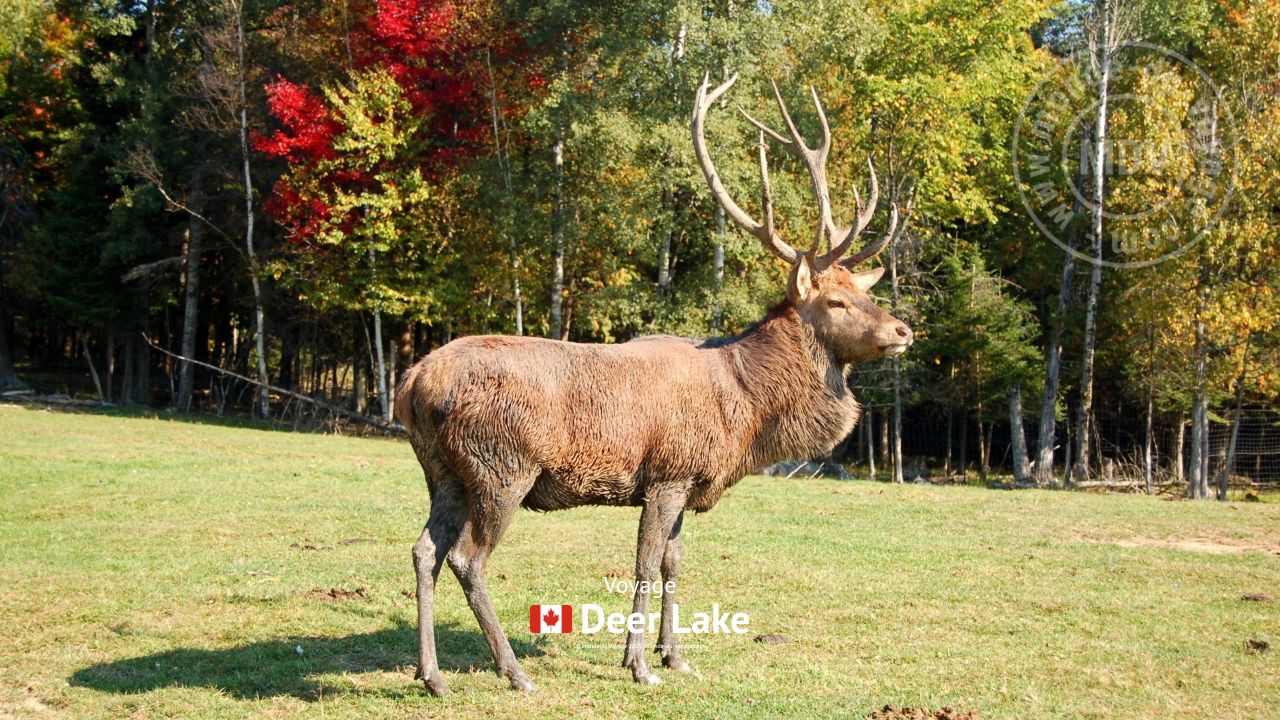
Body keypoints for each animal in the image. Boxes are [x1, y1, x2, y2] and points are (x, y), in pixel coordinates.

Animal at [396, 71, 911, 691]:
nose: (902, 329)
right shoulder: (668, 472)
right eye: (836, 301)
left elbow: (673, 562)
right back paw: (514, 671)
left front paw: (674, 655)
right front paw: (641, 665)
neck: (745, 408)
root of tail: (411, 384)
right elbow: (643, 562)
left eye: (864, 291)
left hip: (443, 470)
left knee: (424, 548)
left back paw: (432, 674)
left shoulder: (689, 478)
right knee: (466, 556)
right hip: (502, 466)